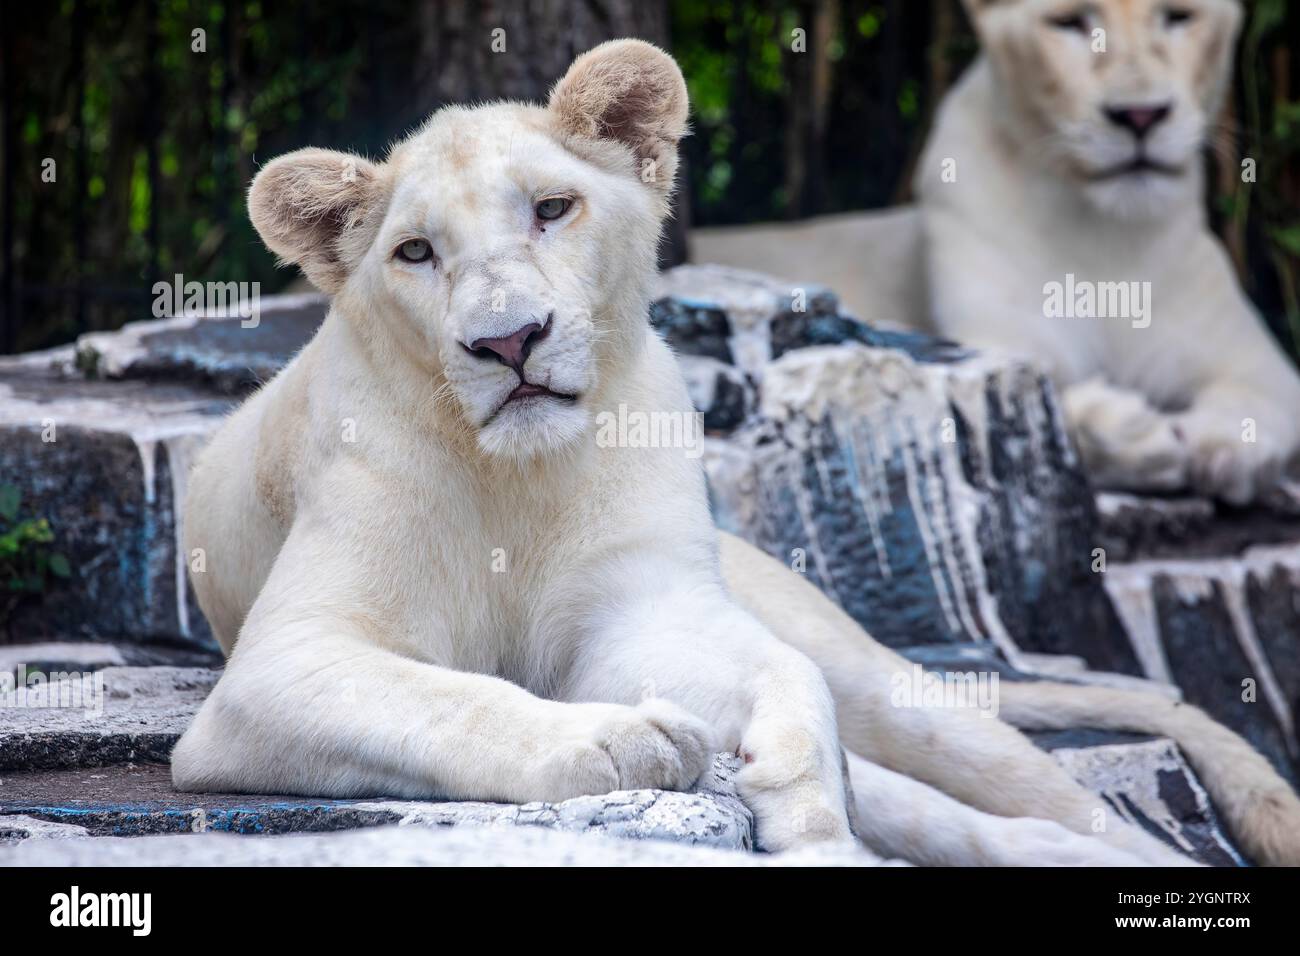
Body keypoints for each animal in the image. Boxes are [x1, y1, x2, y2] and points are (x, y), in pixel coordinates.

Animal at [172, 39, 1300, 865]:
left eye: (551, 208)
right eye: (415, 252)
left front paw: (801, 807)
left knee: (995, 774)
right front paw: (616, 739)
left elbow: (786, 686)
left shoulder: (649, 608)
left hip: (892, 688)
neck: (521, 475)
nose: (508, 342)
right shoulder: (277, 670)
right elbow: (449, 696)